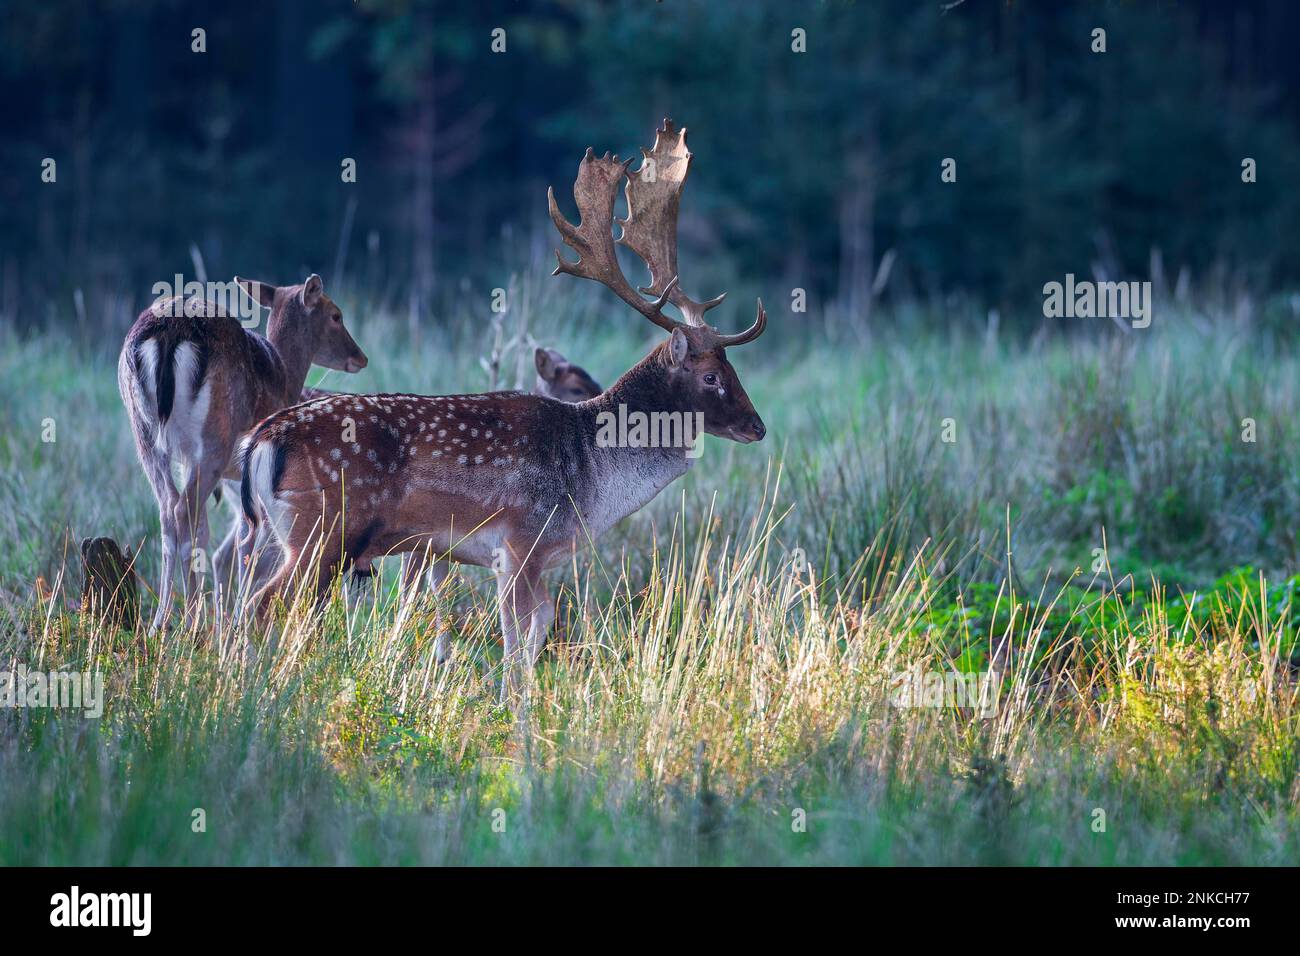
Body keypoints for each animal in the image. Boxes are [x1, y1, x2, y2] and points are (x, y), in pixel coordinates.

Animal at [118, 274, 368, 632]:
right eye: (336, 315)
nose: (360, 357)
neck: (285, 377)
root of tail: (166, 334)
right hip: (213, 439)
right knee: (185, 511)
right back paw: (190, 622)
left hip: (145, 435)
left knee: (169, 510)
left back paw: (161, 623)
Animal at [240, 120, 766, 700]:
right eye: (712, 376)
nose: (758, 426)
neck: (594, 479)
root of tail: (261, 440)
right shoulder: (518, 543)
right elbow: (517, 641)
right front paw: (515, 707)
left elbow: (540, 630)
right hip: (323, 530)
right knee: (262, 605)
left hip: (276, 533)